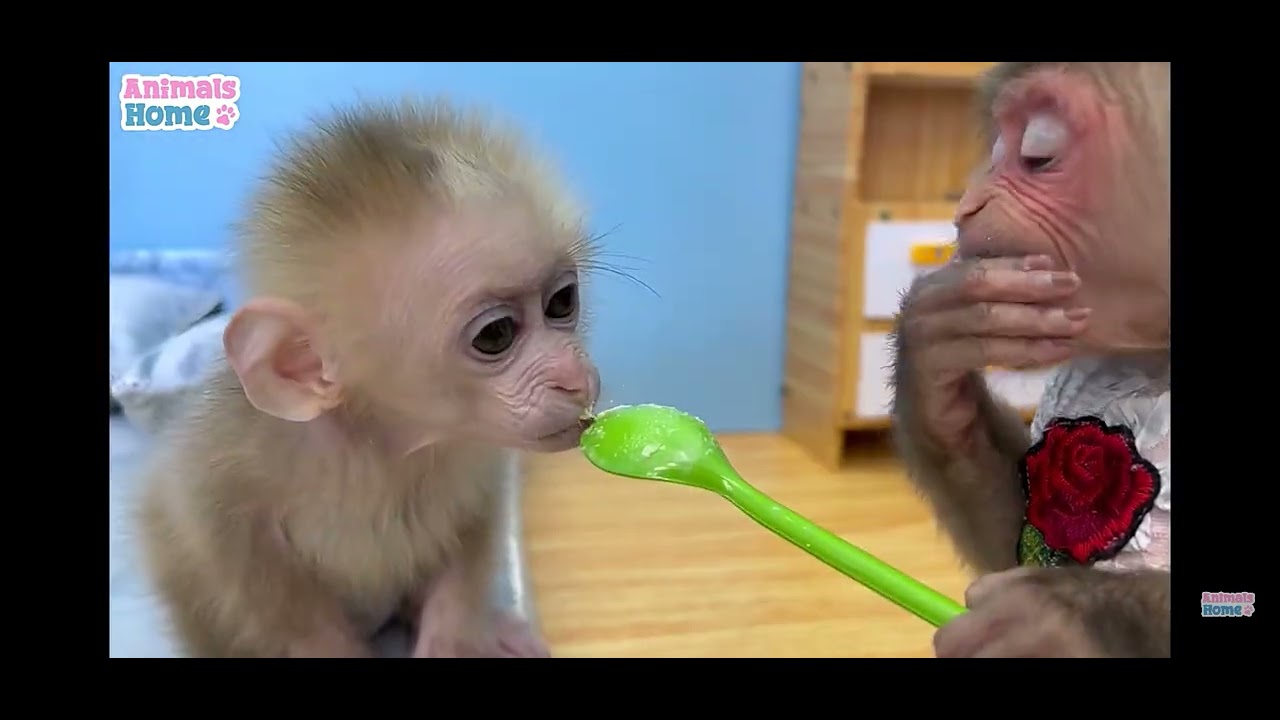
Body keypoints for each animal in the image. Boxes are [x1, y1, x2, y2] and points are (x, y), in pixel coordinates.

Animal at [134, 97, 601, 658]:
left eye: (562, 303)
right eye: (496, 335)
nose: (574, 376)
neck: (383, 440)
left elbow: (475, 522)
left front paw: (453, 633)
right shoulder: (226, 461)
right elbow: (233, 554)